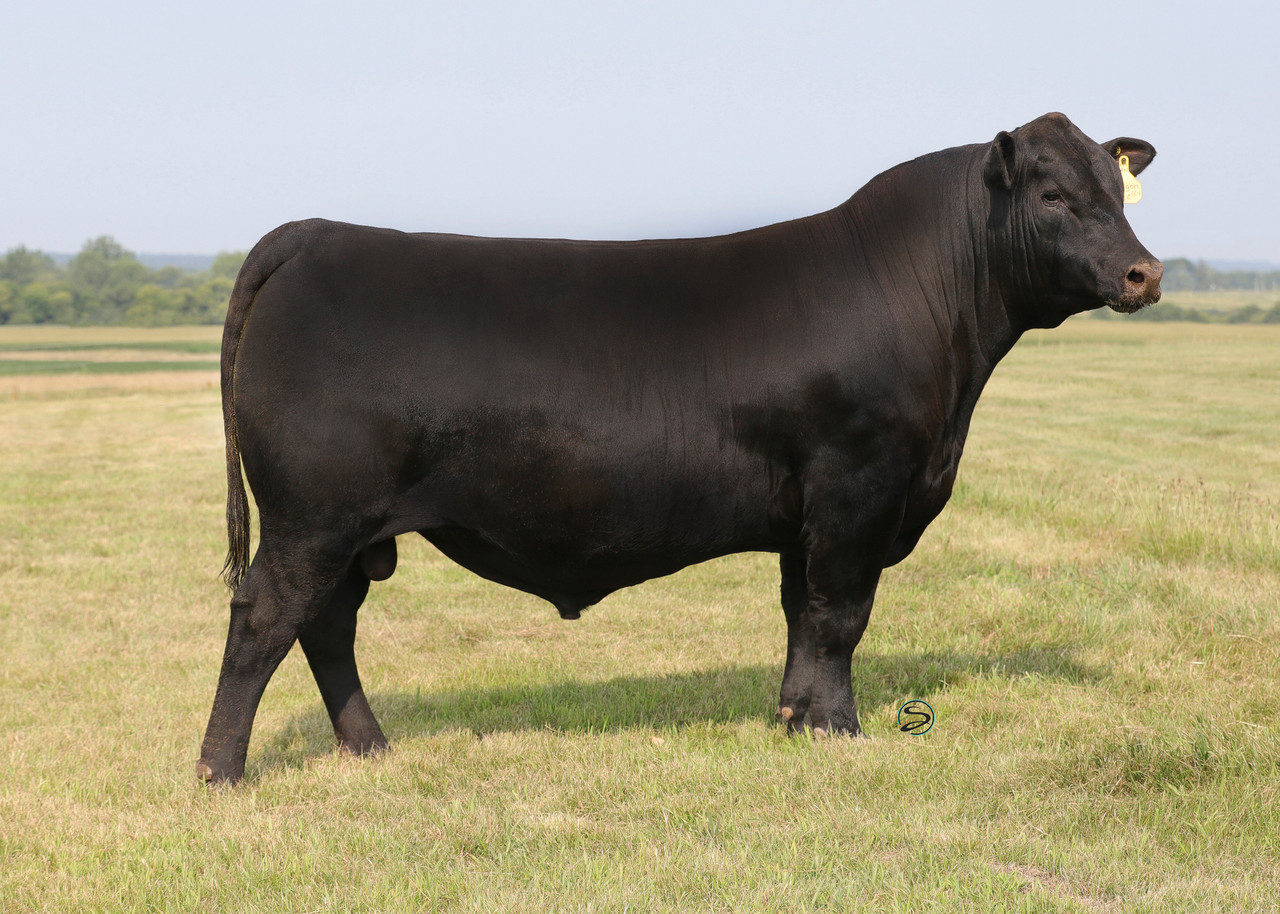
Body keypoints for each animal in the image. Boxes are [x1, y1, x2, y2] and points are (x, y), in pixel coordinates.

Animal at [197, 112, 1161, 784]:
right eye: (1051, 197)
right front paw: (839, 731)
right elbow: (841, 615)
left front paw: (792, 718)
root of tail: (319, 233)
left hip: (346, 529)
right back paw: (220, 771)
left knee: (327, 626)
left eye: (1116, 195)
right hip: (314, 516)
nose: (1143, 273)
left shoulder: (808, 508)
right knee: (266, 618)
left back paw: (370, 748)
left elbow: (801, 614)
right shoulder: (859, 486)